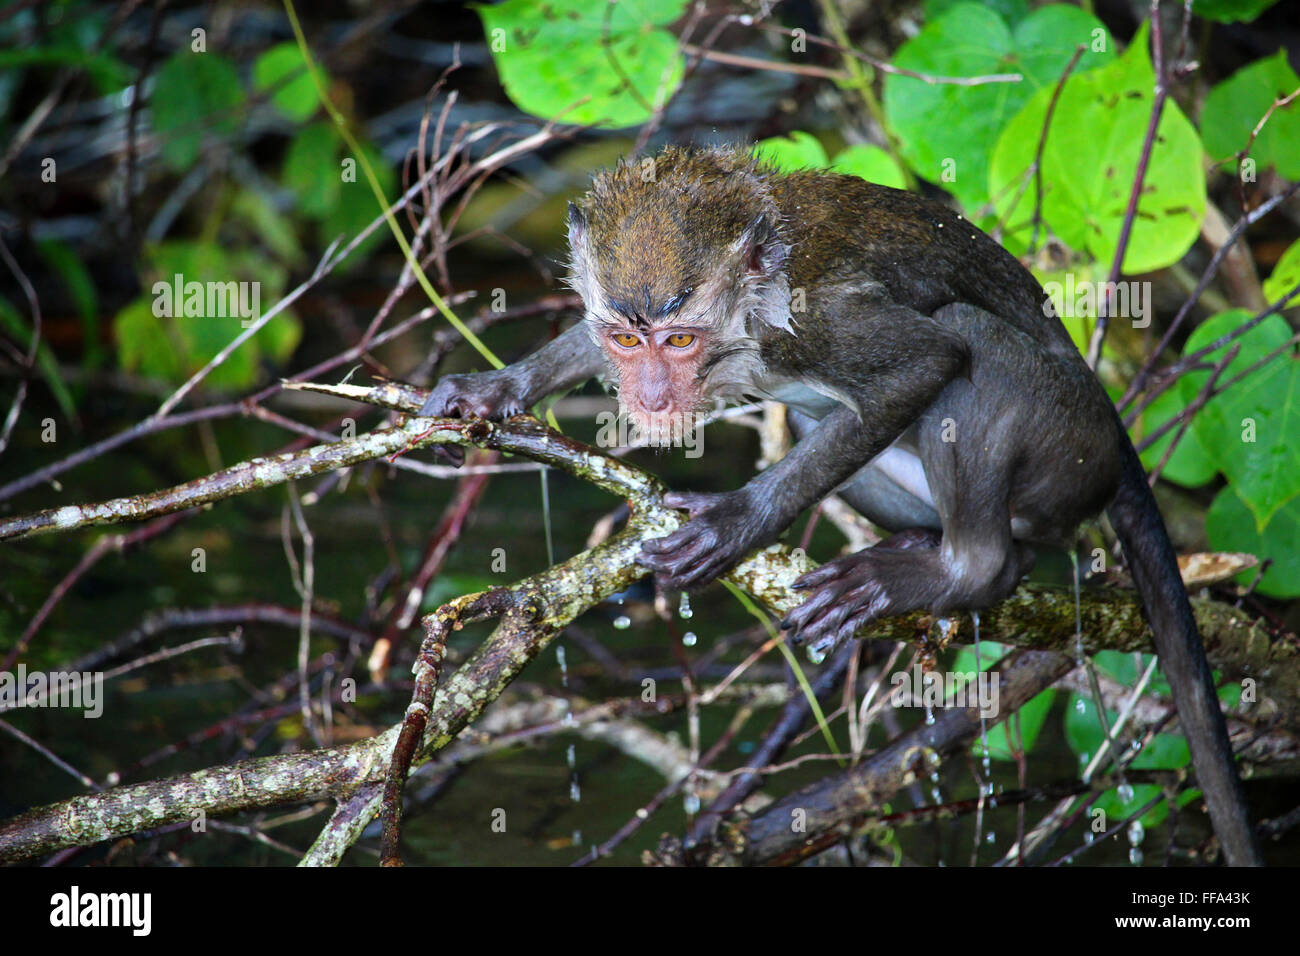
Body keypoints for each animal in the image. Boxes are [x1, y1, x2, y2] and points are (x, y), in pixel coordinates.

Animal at [420, 145, 1262, 866]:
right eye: (629, 341)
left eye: (680, 340)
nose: (651, 397)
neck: (746, 313)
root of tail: (1114, 436)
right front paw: (498, 387)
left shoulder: (820, 322)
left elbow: (924, 362)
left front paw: (737, 522)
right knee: (827, 424)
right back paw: (936, 553)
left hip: (1067, 448)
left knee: (969, 344)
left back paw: (966, 568)